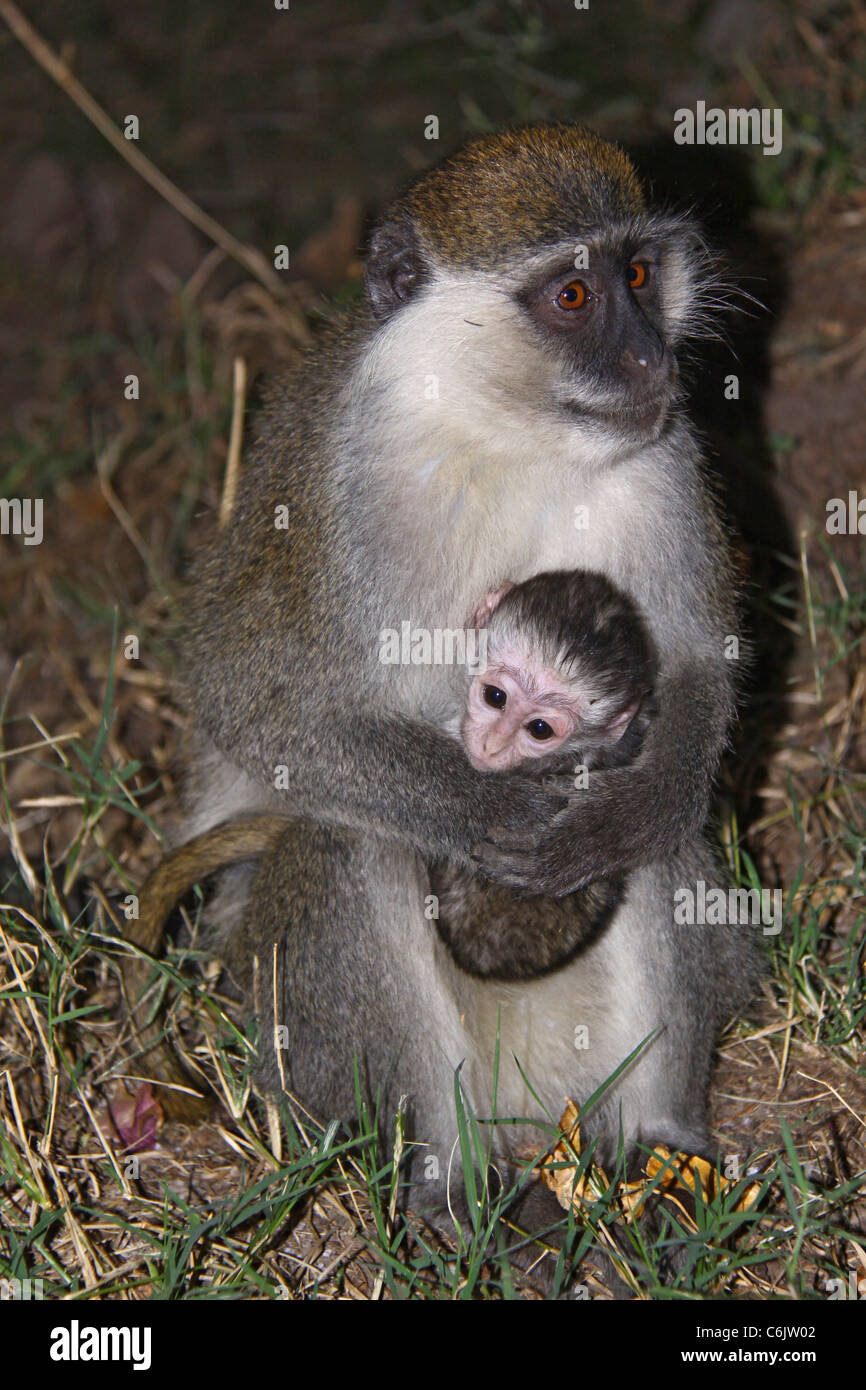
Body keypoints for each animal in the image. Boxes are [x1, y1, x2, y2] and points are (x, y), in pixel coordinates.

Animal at [125, 125, 762, 1239]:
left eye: (639, 275)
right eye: (571, 296)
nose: (647, 357)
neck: (502, 429)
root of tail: (533, 1115)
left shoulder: (665, 454)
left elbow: (690, 678)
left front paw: (605, 819)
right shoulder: (336, 491)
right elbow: (255, 700)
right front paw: (486, 810)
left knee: (654, 845)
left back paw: (657, 1151)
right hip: (293, 1035)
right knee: (351, 846)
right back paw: (447, 1180)